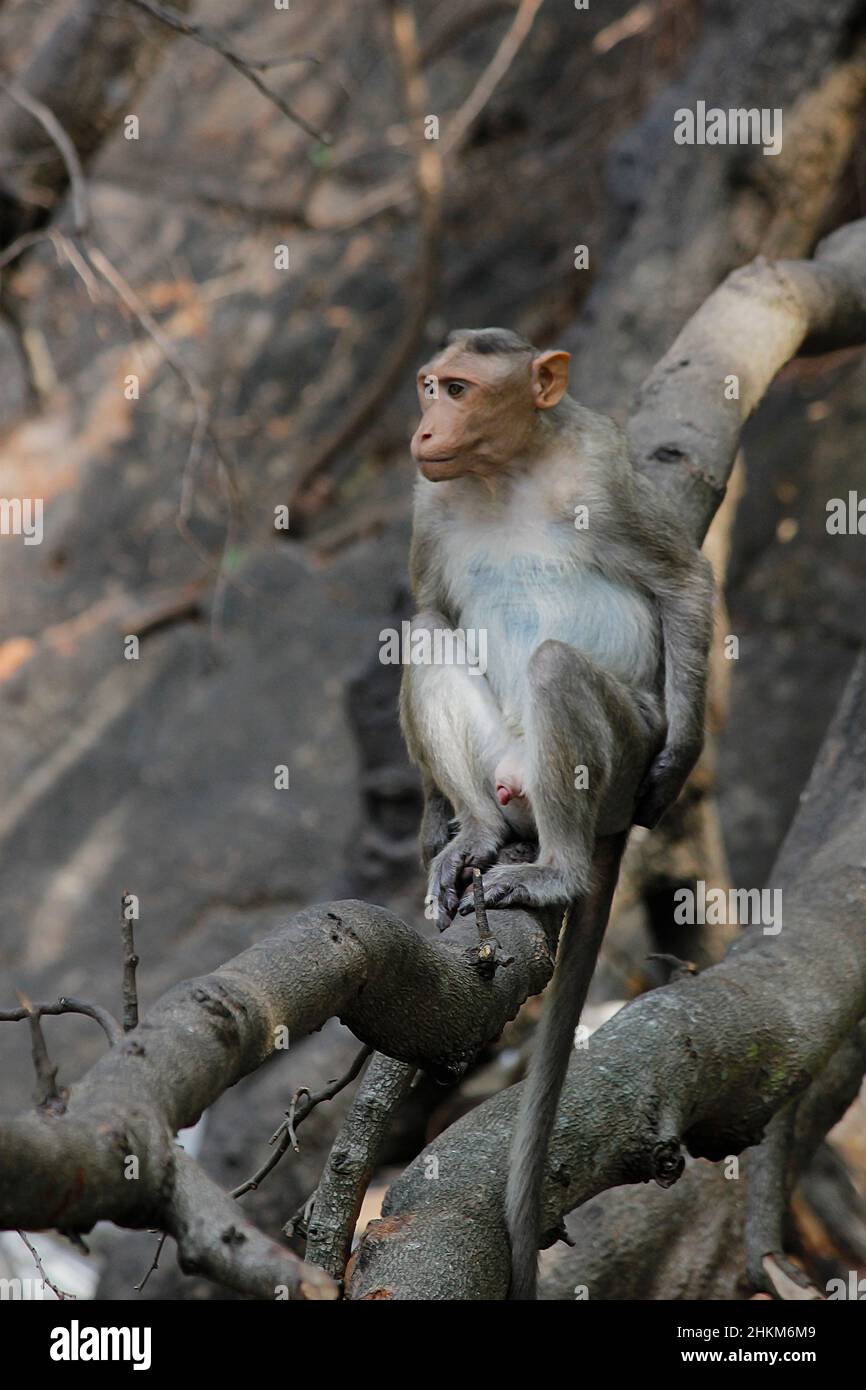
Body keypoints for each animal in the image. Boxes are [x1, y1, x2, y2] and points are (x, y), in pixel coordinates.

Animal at [398, 327, 714, 1299]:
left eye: (459, 389)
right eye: (430, 386)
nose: (424, 429)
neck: (506, 470)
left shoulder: (604, 468)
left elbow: (683, 581)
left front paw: (682, 760)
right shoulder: (427, 505)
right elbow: (426, 613)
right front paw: (433, 828)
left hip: (613, 759)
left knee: (553, 669)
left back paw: (559, 871)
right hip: (501, 762)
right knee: (428, 638)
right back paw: (478, 835)